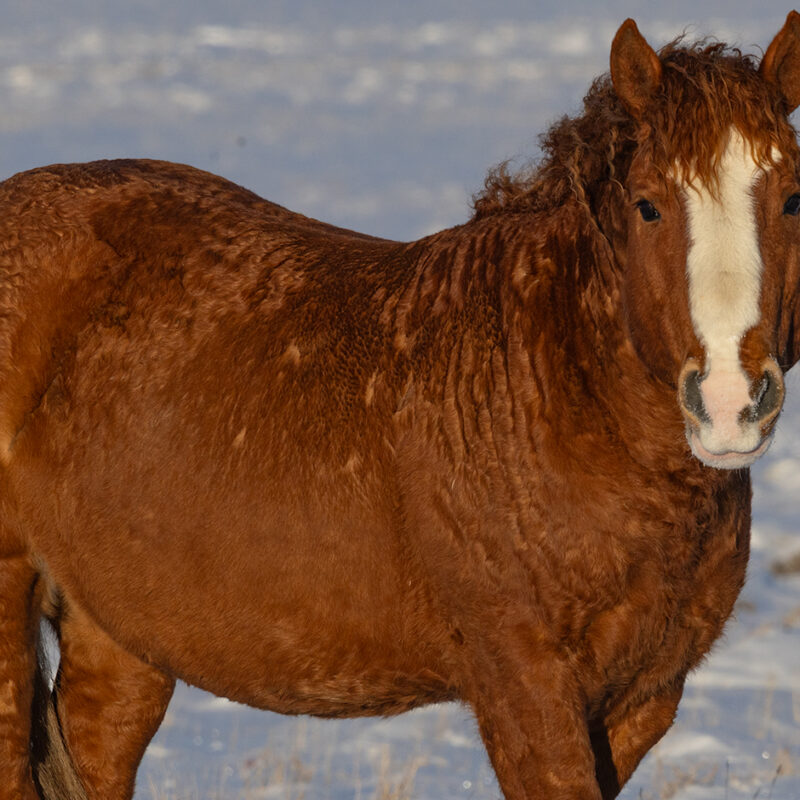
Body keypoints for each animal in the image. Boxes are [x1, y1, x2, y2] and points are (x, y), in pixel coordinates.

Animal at [1, 13, 800, 800]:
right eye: (648, 205)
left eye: (792, 198)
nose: (730, 401)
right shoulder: (525, 689)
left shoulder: (644, 699)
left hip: (118, 636)